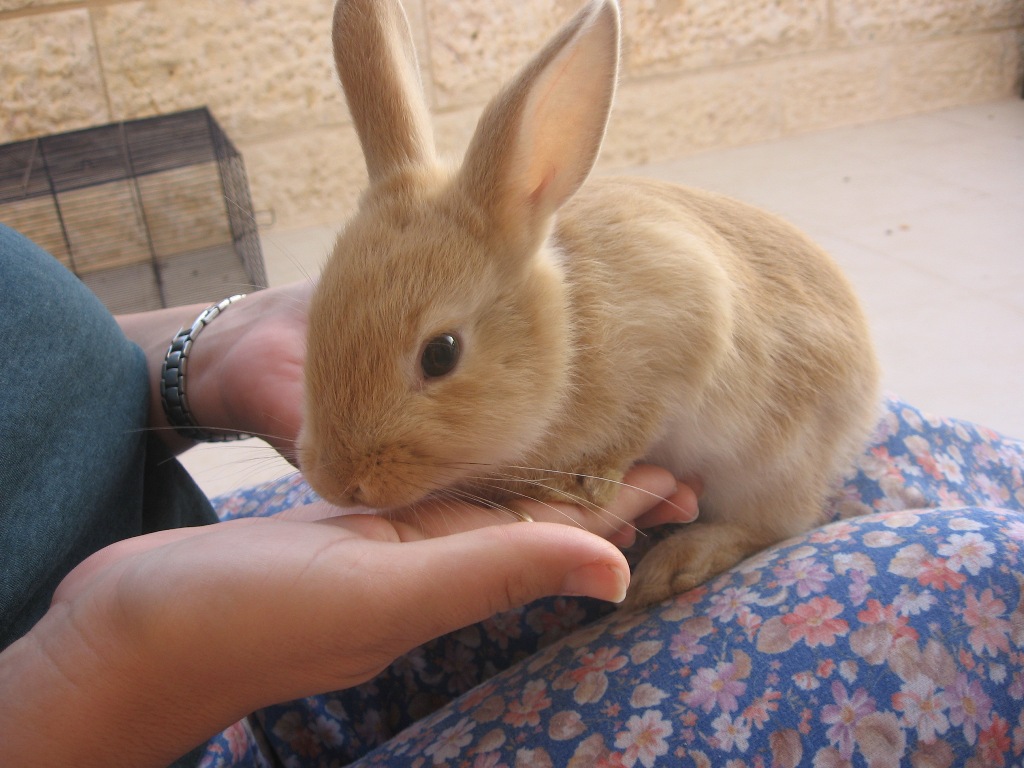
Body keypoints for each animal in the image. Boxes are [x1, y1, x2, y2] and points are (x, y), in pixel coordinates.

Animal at [297, 0, 880, 609]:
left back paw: (675, 565)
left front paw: (586, 480)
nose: (339, 482)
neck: (568, 337)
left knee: (774, 523)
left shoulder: (686, 320)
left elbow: (644, 419)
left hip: (774, 466)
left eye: (441, 354)